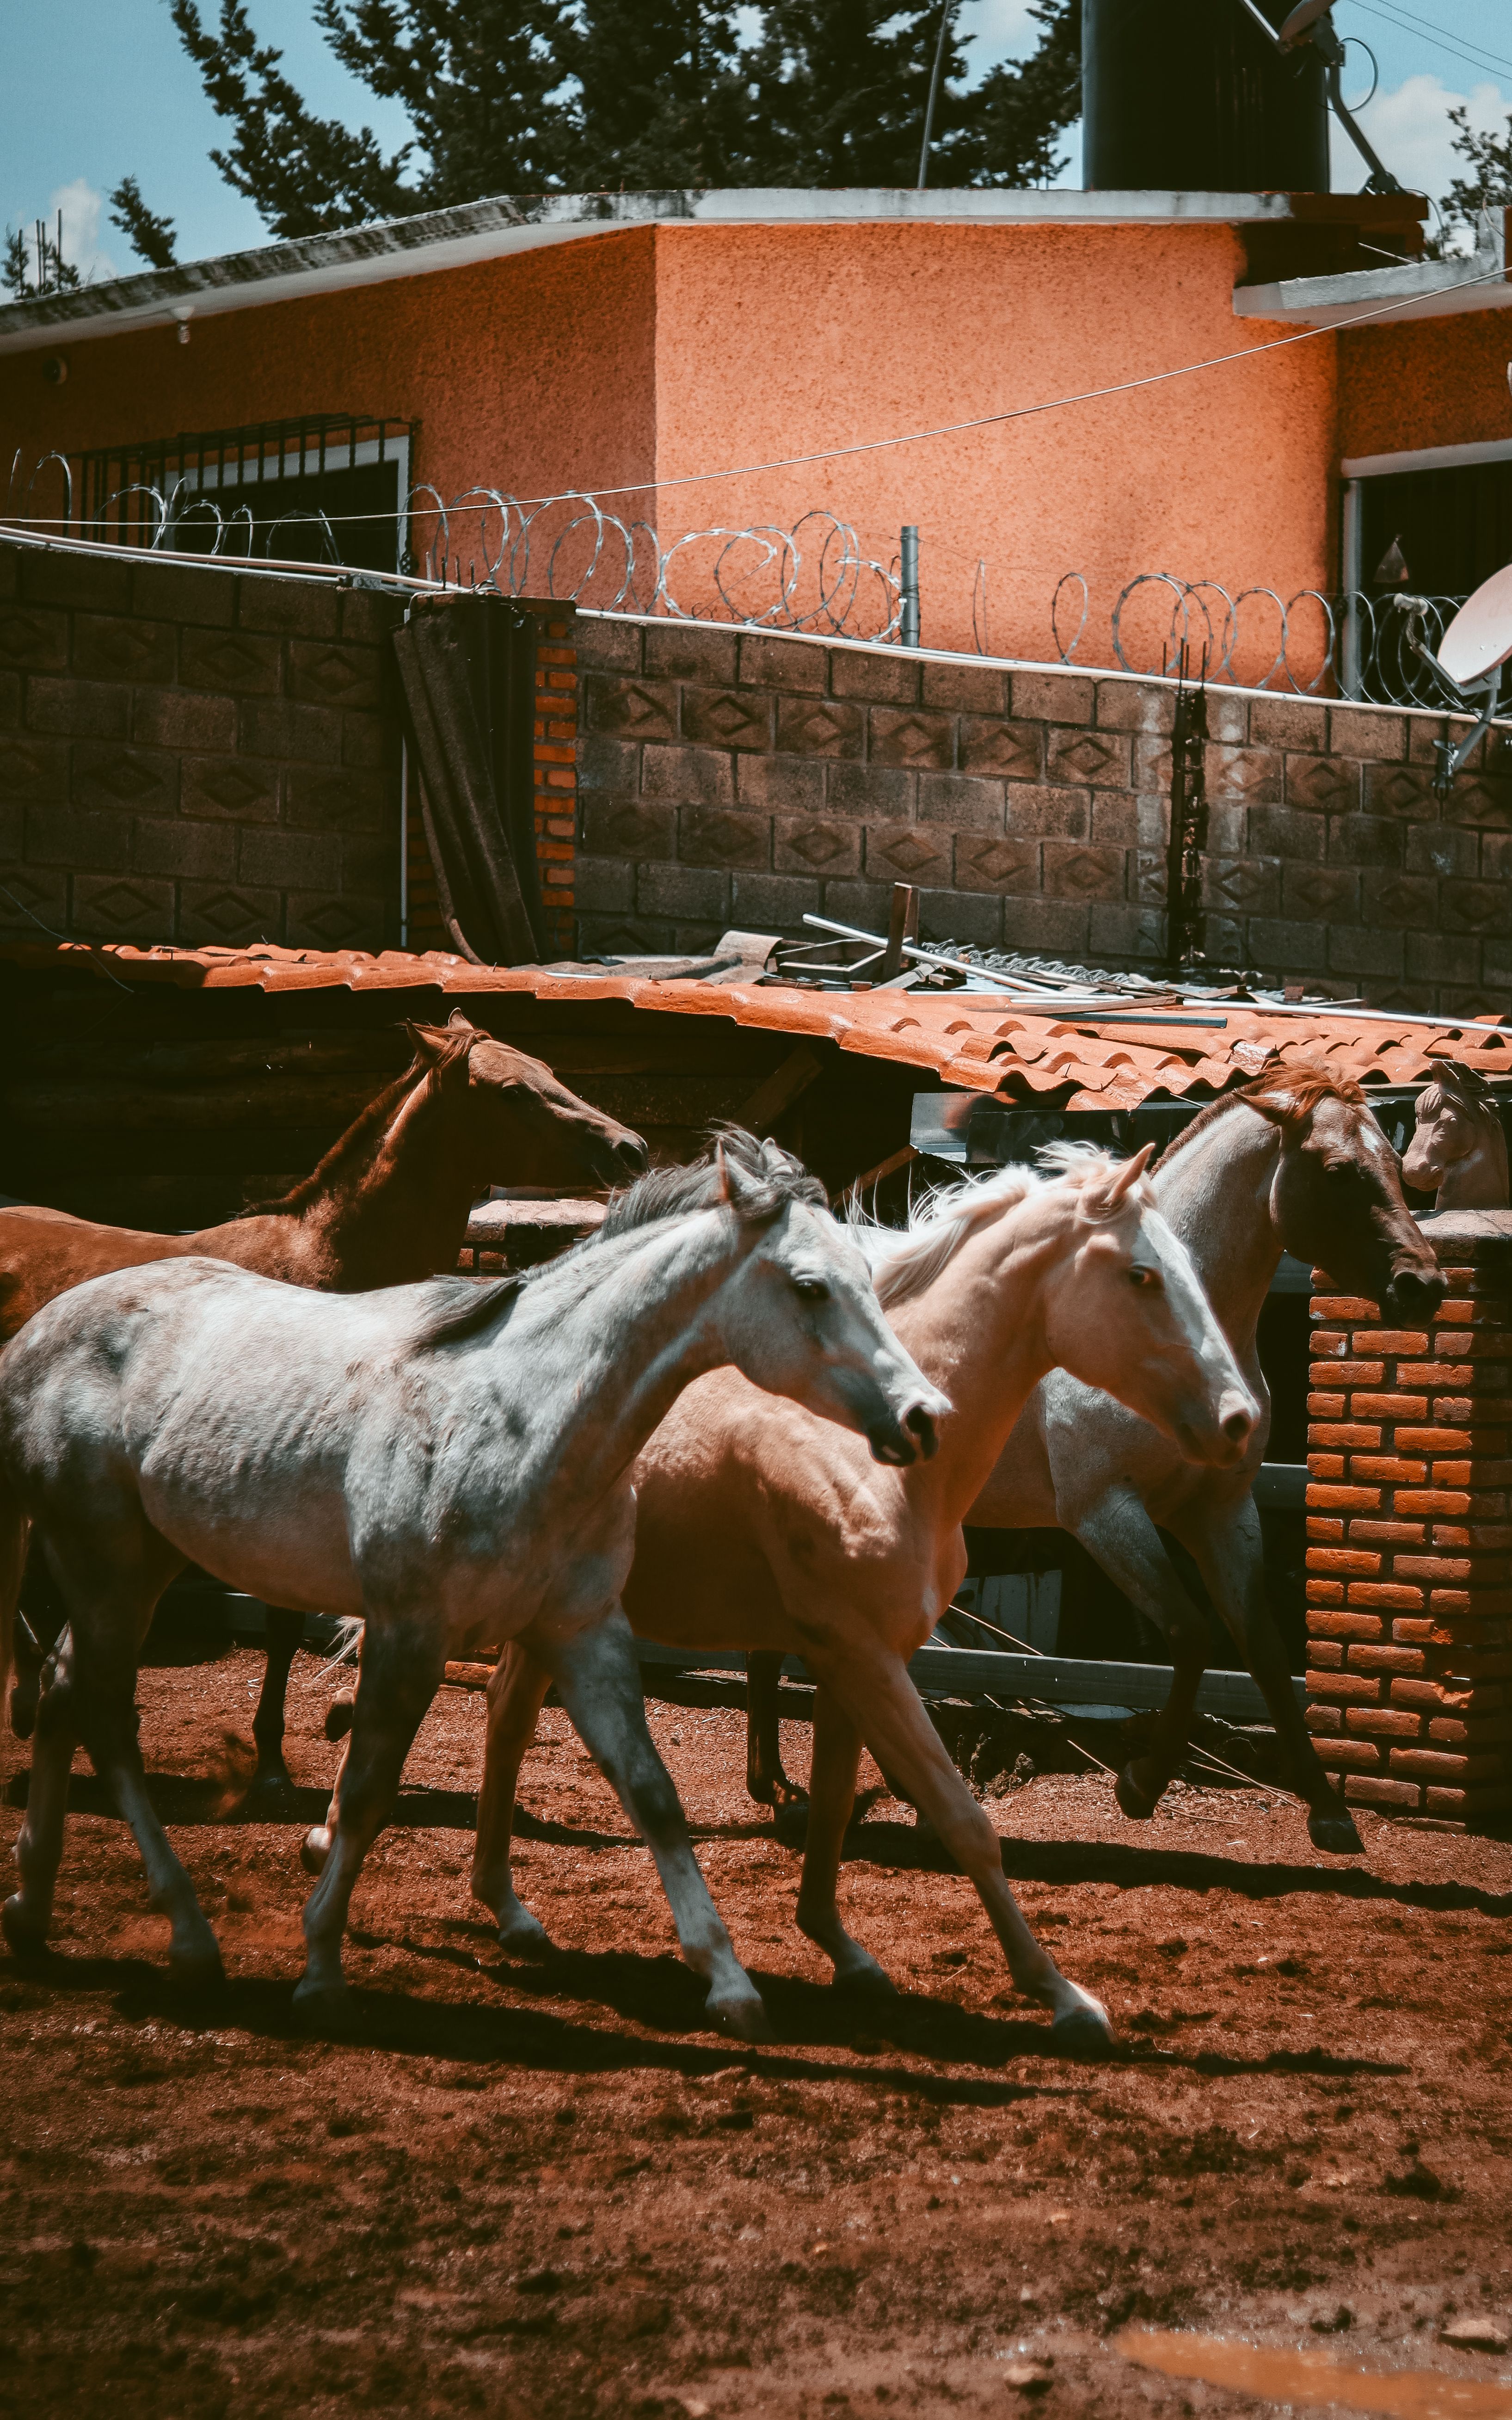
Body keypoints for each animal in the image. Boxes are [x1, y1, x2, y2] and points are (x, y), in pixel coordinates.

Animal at [0, 1132, 947, 2041]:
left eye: (868, 1277)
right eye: (810, 1286)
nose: (923, 1417)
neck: (518, 1420)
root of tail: (36, 1335)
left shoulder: (584, 1632)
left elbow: (653, 1795)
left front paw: (729, 1983)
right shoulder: (408, 1634)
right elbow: (367, 1793)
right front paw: (322, 1973)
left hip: (134, 1567)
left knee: (64, 1690)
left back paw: (33, 1908)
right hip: (109, 1568)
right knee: (104, 1714)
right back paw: (190, 1939)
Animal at [2, 1010, 647, 1790]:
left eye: (549, 1070)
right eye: (514, 1091)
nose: (630, 1147)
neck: (326, 1266)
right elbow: (285, 1619)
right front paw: (273, 1760)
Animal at [471, 1142, 1258, 2055]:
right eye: (1141, 1275)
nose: (1239, 1420)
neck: (875, 1455)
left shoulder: (851, 1660)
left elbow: (834, 1807)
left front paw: (843, 1952)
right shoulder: (866, 1658)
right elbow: (964, 1821)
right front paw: (1062, 1994)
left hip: (550, 1619)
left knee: (506, 1718)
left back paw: (508, 1911)